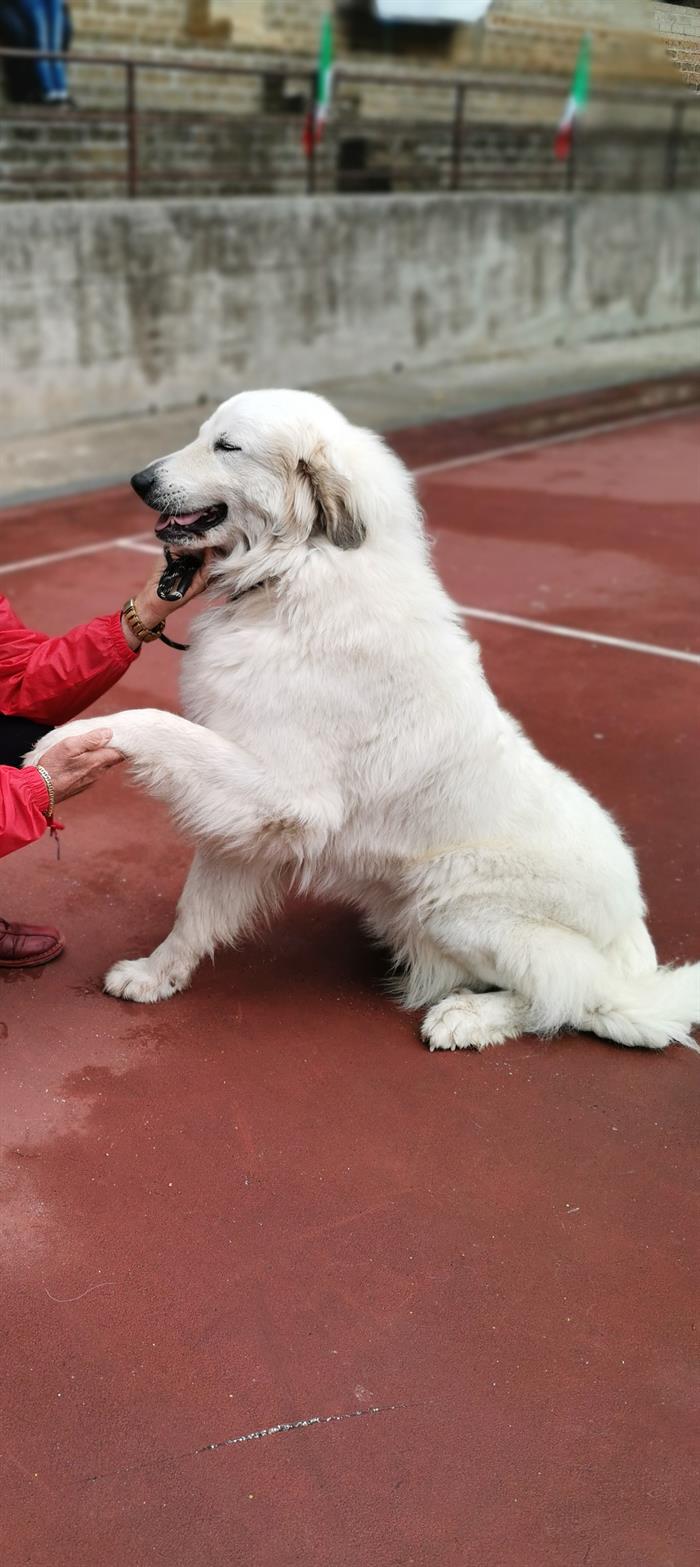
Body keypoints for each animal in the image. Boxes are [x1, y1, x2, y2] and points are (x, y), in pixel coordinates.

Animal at [30, 390, 700, 1053]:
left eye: (227, 445)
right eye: (202, 434)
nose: (138, 480)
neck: (296, 569)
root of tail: (633, 940)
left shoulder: (284, 793)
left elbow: (160, 725)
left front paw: (65, 743)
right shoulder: (247, 819)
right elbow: (195, 909)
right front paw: (156, 975)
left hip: (448, 895)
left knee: (574, 994)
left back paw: (465, 1018)